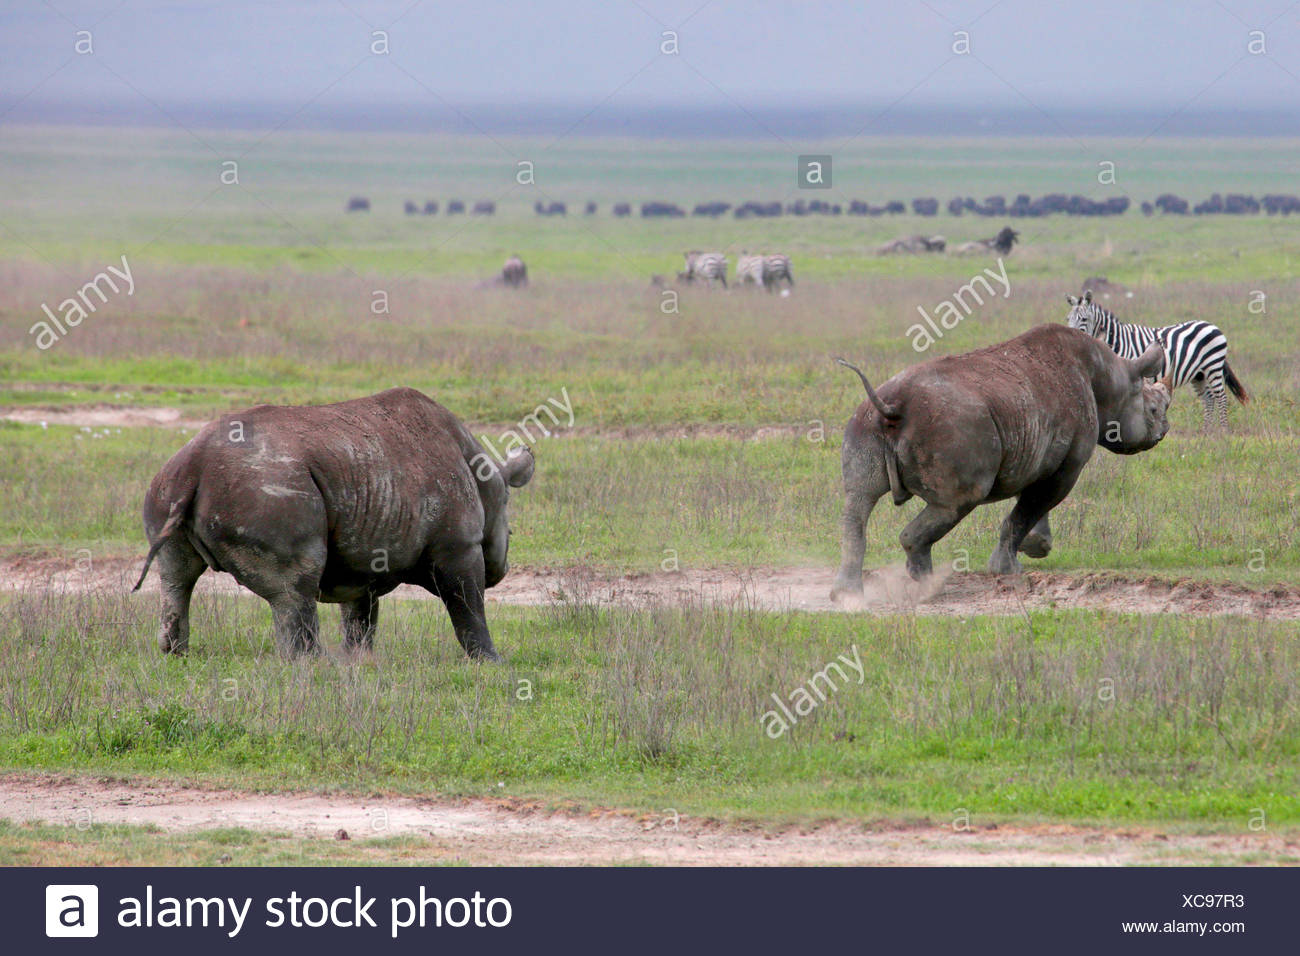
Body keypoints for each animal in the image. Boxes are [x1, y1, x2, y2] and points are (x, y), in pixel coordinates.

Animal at [133, 388, 534, 661]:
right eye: (509, 527)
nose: (501, 570)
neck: (486, 479)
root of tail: (194, 465)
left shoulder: (365, 553)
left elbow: (359, 614)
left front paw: (359, 660)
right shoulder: (458, 545)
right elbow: (468, 604)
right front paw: (492, 661)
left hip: (165, 487)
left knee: (176, 575)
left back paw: (176, 653)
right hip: (267, 487)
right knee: (295, 584)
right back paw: (313, 662)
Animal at [830, 324, 1172, 599]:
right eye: (1154, 410)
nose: (1164, 430)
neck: (1111, 379)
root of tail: (893, 406)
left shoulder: (1036, 450)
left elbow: (1033, 505)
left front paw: (1036, 546)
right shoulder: (1069, 464)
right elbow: (1026, 511)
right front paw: (1007, 569)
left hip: (863, 422)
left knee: (858, 501)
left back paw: (847, 595)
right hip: (953, 426)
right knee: (957, 501)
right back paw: (928, 585)